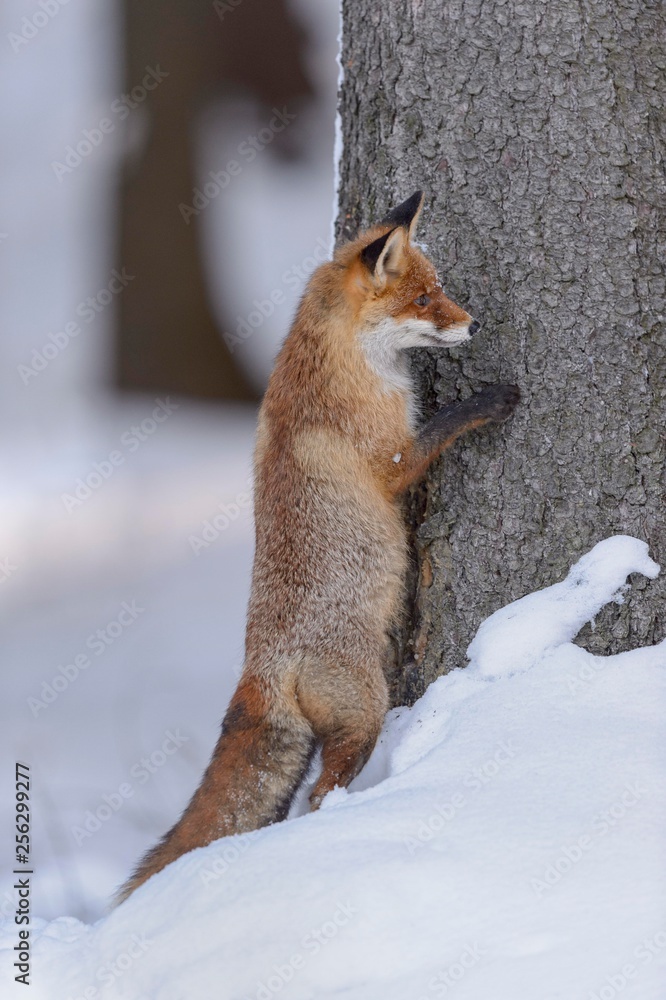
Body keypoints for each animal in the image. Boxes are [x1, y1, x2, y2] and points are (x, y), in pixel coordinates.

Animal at [117, 191, 519, 902]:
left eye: (439, 288)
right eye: (424, 299)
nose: (472, 326)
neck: (337, 361)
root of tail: (259, 666)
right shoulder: (392, 460)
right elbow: (444, 425)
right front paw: (491, 399)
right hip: (364, 711)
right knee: (319, 795)